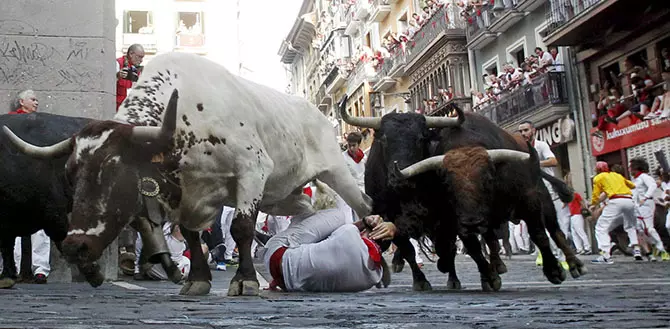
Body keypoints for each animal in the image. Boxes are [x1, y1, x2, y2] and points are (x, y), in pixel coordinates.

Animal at [342, 100, 588, 290]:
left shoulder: (527, 199)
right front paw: (422, 281)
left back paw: (574, 264)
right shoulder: (395, 215)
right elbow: (412, 249)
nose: (399, 175)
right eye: (383, 139)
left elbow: (539, 234)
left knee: (553, 229)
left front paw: (553, 271)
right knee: (489, 238)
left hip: (542, 195)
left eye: (421, 138)